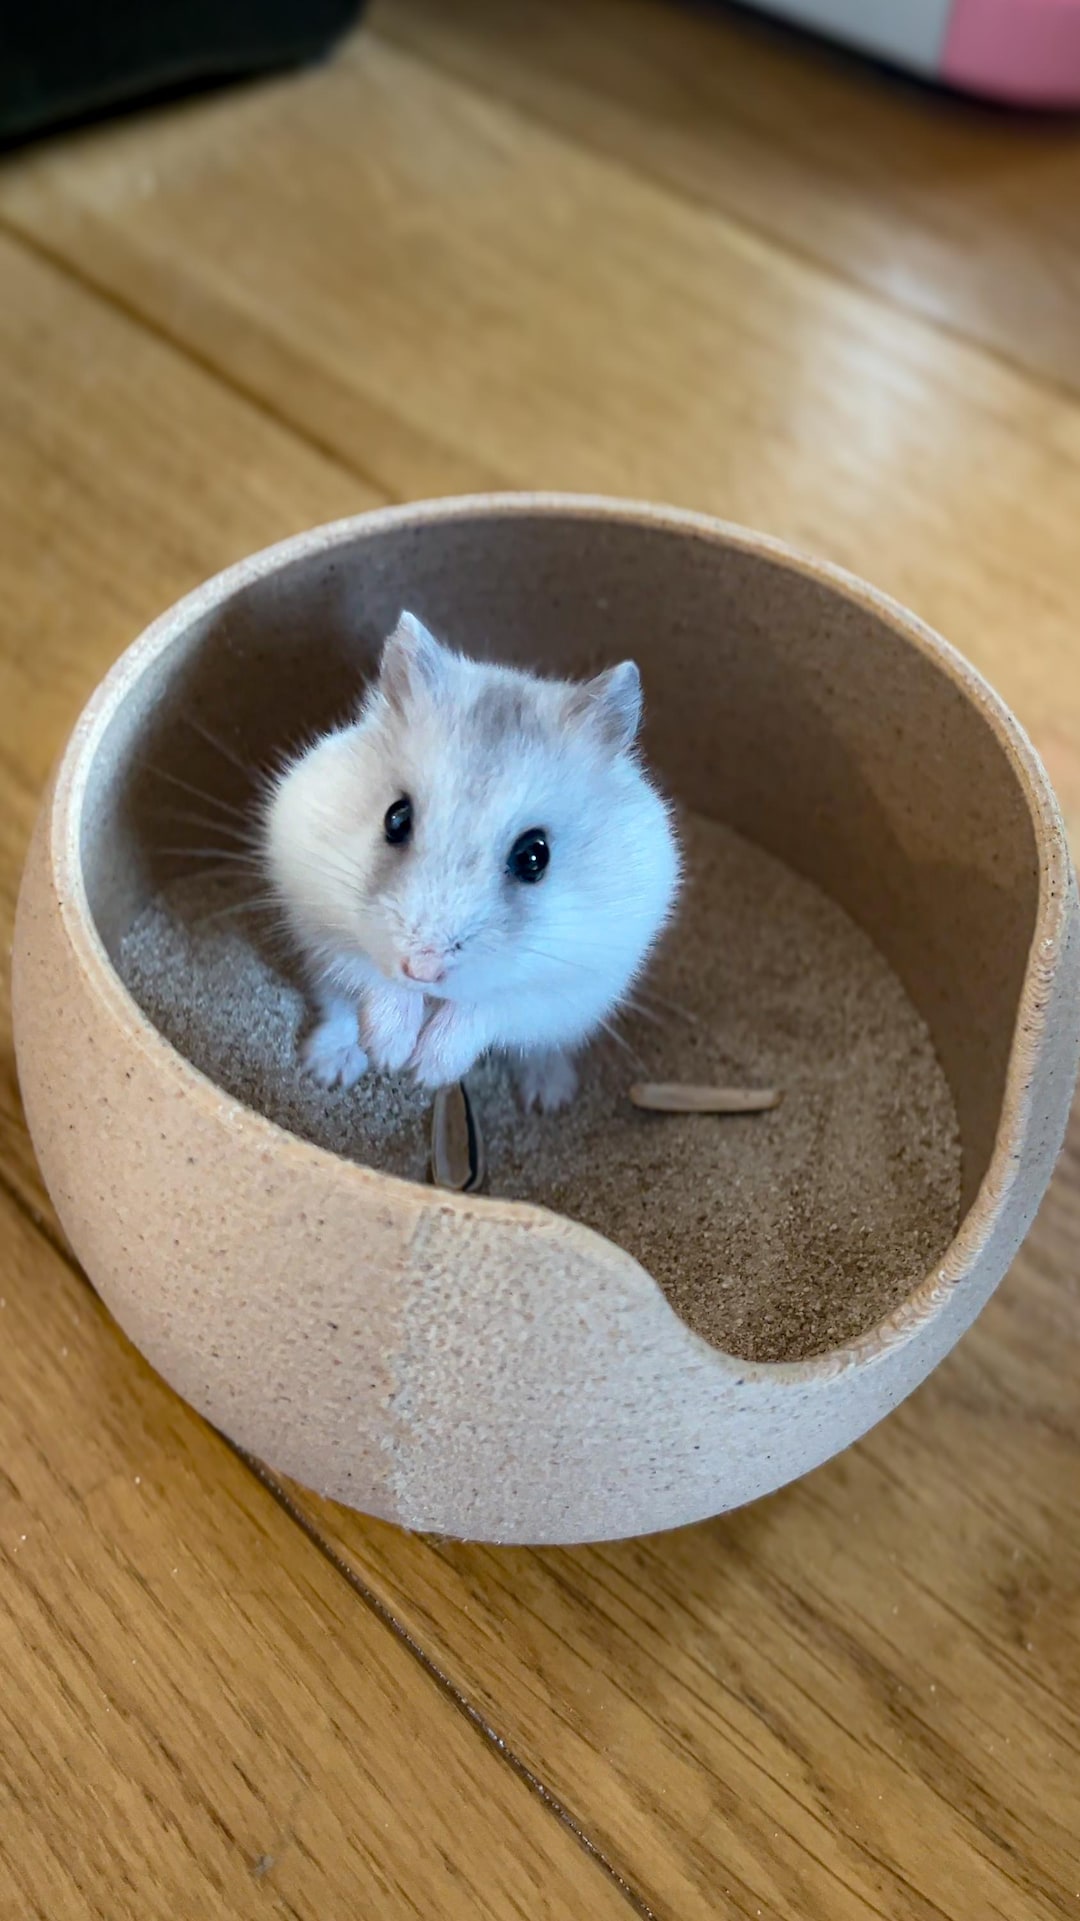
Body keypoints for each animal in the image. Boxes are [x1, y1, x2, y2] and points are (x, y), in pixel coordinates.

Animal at [262, 612, 681, 1111]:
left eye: (535, 856)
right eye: (395, 818)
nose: (421, 970)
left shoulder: (566, 984)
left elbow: (488, 1004)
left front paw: (425, 1070)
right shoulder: (323, 926)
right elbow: (375, 976)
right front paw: (392, 1054)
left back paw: (548, 1097)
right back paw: (331, 1068)